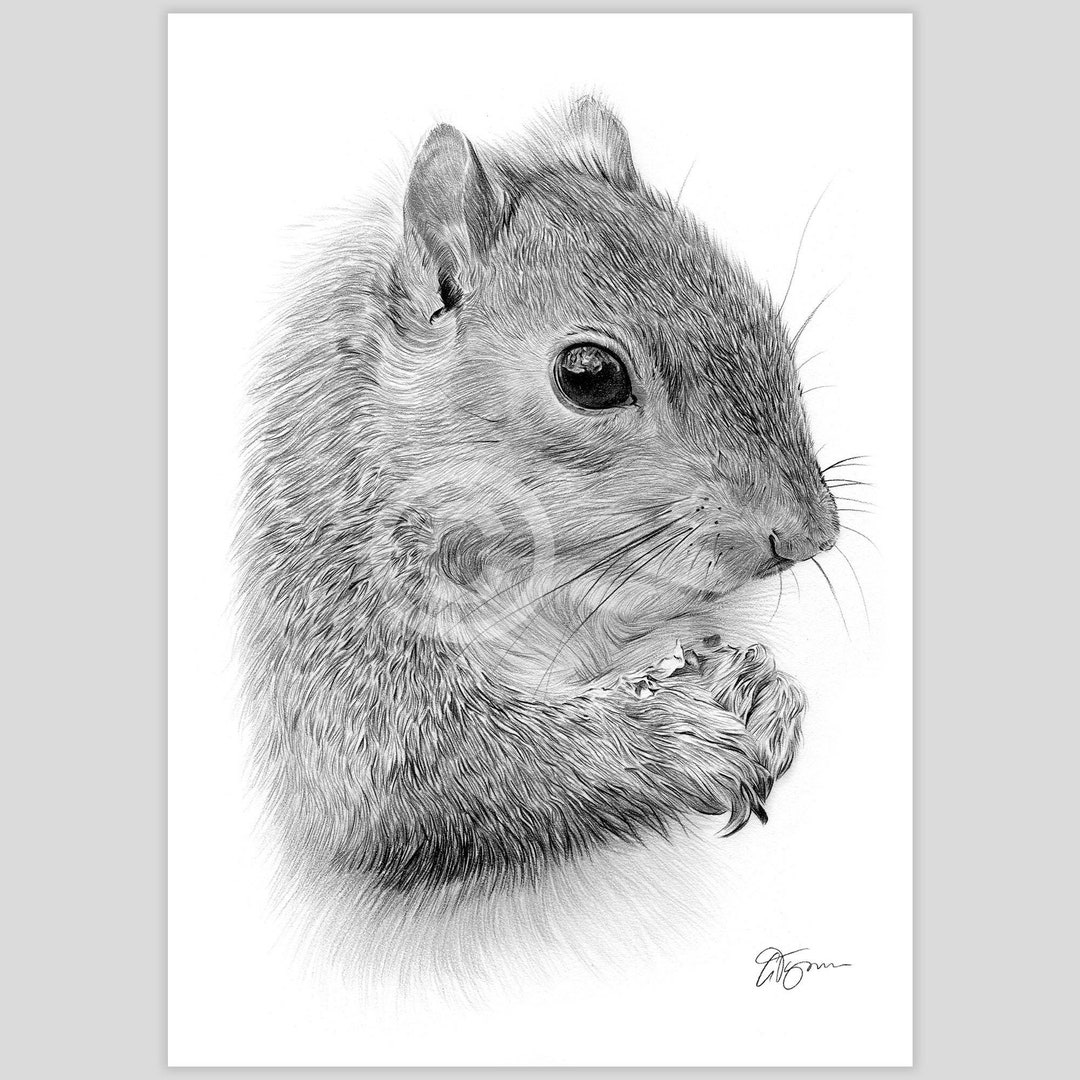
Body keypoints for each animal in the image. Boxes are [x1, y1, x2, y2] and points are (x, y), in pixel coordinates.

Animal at [236, 97, 839, 903]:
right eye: (589, 375)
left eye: (762, 316)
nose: (810, 534)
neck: (541, 580)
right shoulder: (336, 636)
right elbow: (425, 771)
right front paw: (666, 737)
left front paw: (758, 687)